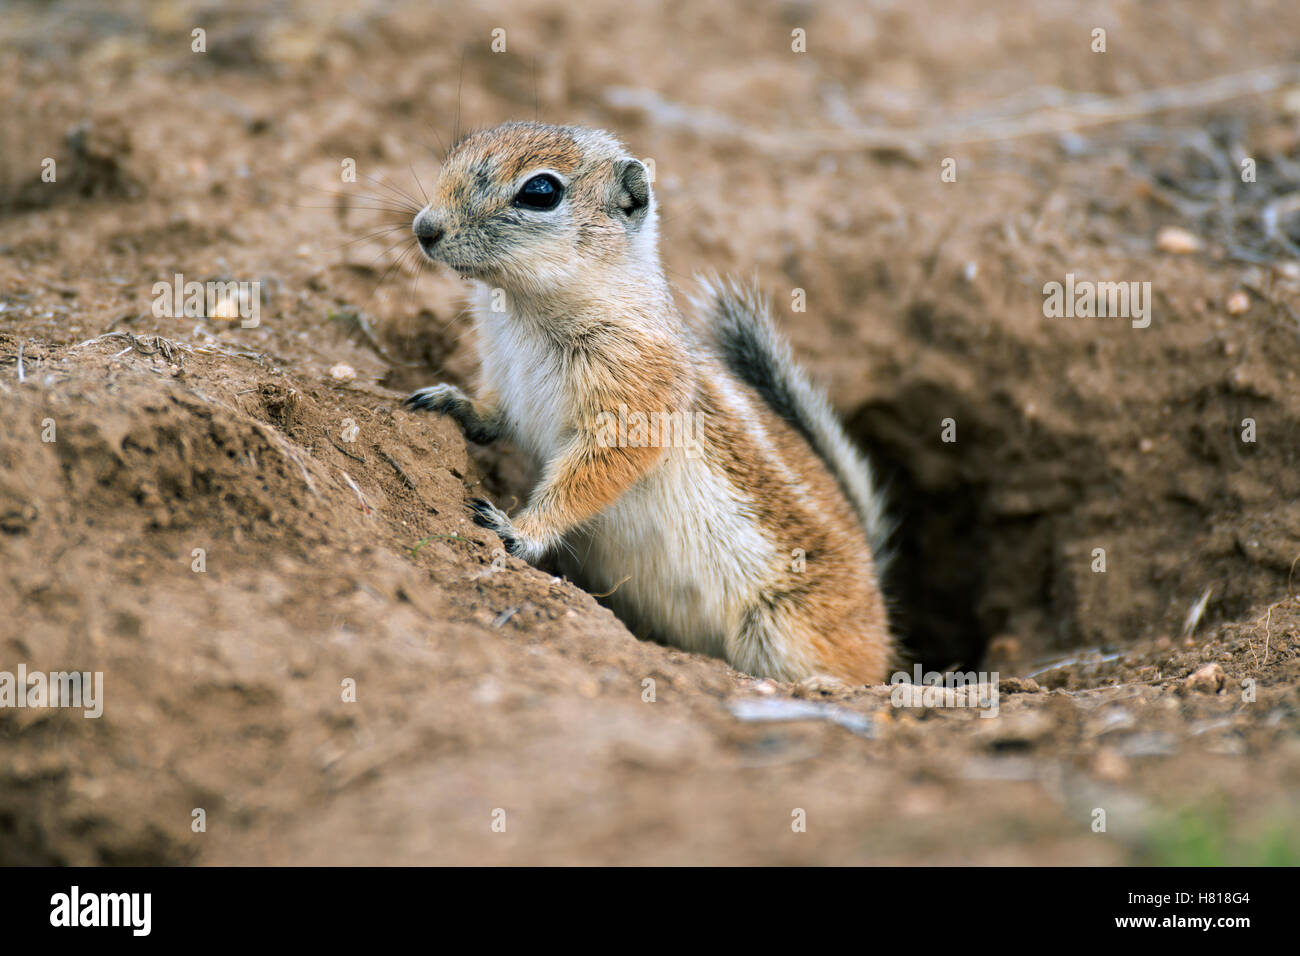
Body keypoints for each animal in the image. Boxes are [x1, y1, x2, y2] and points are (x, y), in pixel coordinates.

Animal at [402, 121, 893, 684]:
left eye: (540, 191)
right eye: (456, 151)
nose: (424, 228)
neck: (521, 311)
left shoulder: (635, 399)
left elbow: (591, 475)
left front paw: (519, 530)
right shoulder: (503, 376)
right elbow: (493, 412)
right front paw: (453, 403)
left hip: (784, 628)